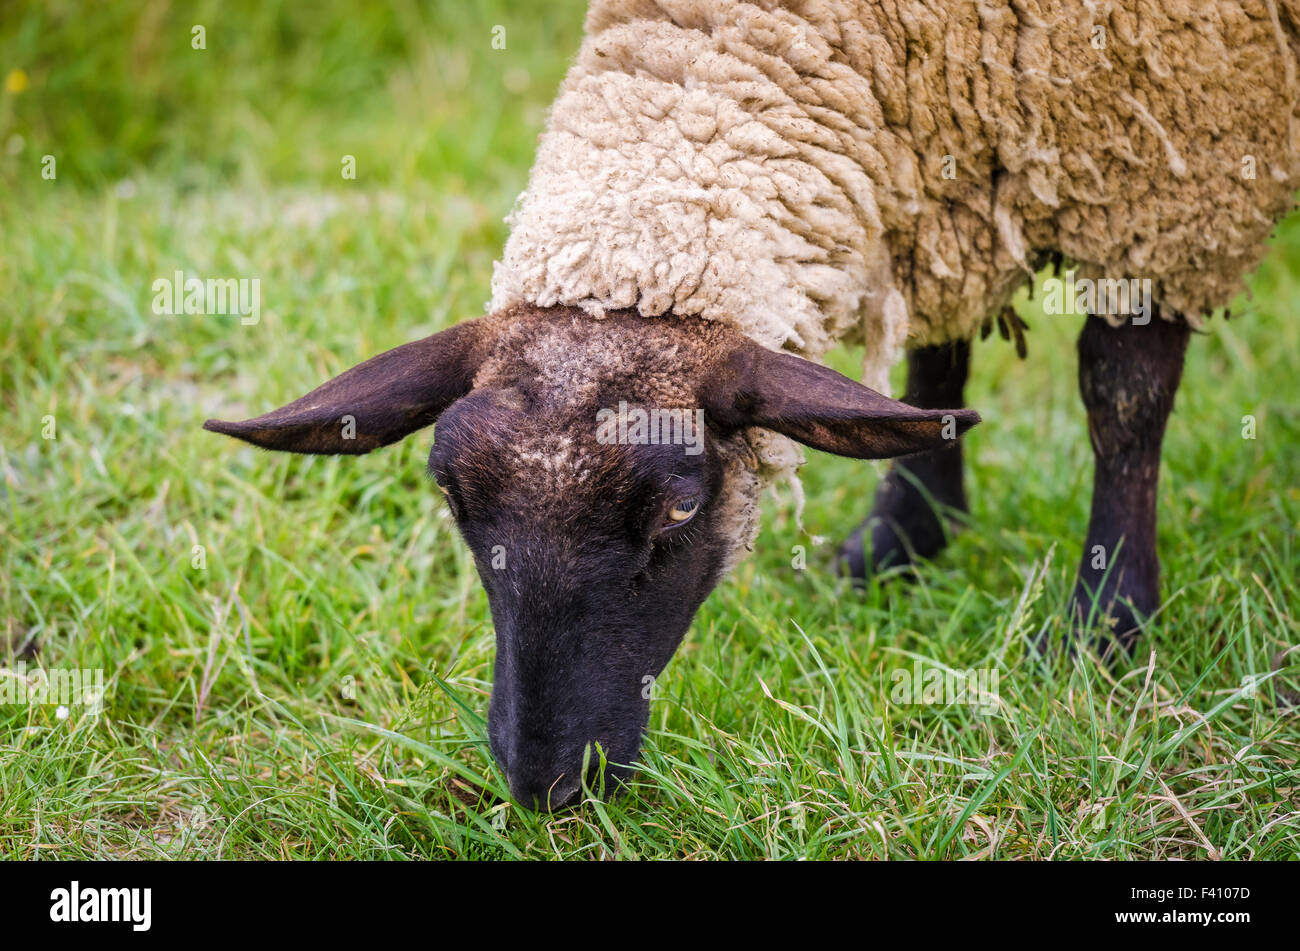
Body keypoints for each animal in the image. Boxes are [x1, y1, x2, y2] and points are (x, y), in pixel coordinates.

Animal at [206, 0, 1300, 809]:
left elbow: (1122, 396)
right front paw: (902, 538)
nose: (547, 785)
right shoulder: (943, 164)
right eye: (454, 500)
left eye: (683, 510)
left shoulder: (1168, 172)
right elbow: (934, 363)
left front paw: (1105, 626)